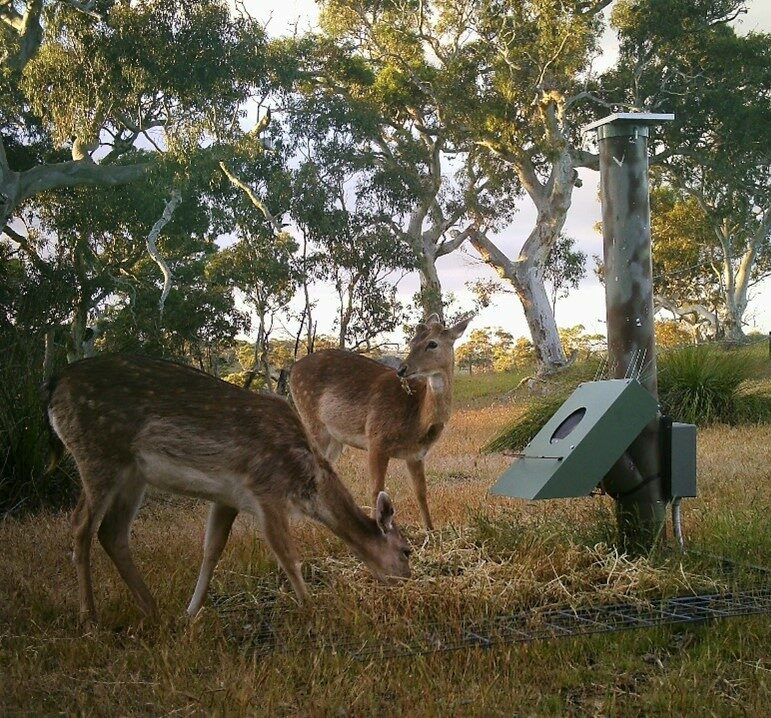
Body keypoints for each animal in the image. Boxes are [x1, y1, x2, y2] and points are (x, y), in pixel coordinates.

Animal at [43, 354, 411, 625]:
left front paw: (191, 612)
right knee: (81, 525)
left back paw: (154, 610)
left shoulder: (228, 496)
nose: (406, 580)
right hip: (97, 452)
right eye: (406, 550)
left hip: (132, 473)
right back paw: (89, 617)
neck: (306, 481)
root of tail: (54, 386)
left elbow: (212, 549)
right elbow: (287, 556)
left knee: (112, 532)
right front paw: (312, 609)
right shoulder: (265, 490)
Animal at [290, 313, 472, 531]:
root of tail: (292, 369)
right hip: (312, 421)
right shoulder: (376, 439)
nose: (402, 369)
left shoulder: (416, 454)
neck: (417, 419)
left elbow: (421, 492)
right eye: (412, 342)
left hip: (335, 438)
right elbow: (377, 491)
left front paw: (430, 530)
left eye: (432, 343)